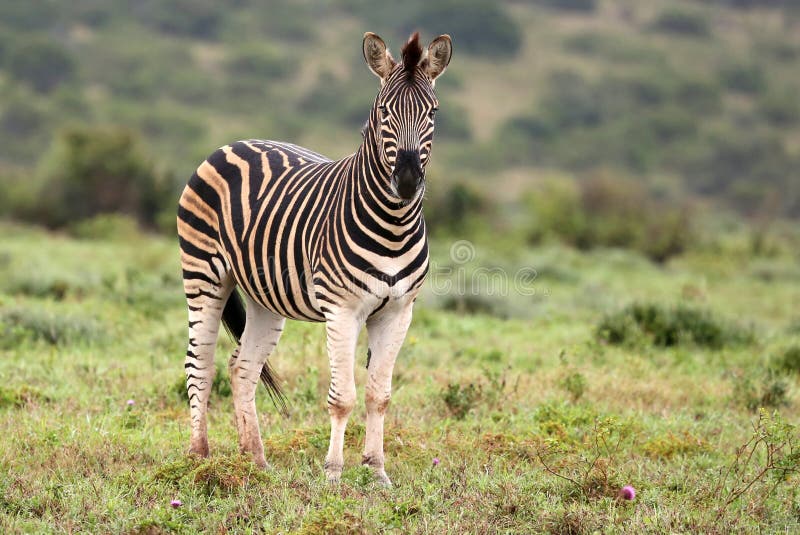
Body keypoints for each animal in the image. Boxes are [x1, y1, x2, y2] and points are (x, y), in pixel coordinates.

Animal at [177, 31, 452, 486]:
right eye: (384, 112)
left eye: (431, 112)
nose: (409, 181)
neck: (393, 225)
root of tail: (234, 143)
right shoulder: (342, 309)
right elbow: (343, 398)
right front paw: (334, 475)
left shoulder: (399, 311)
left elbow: (379, 396)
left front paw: (377, 473)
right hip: (203, 275)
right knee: (201, 363)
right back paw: (199, 458)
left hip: (264, 295)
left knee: (241, 367)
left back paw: (256, 461)